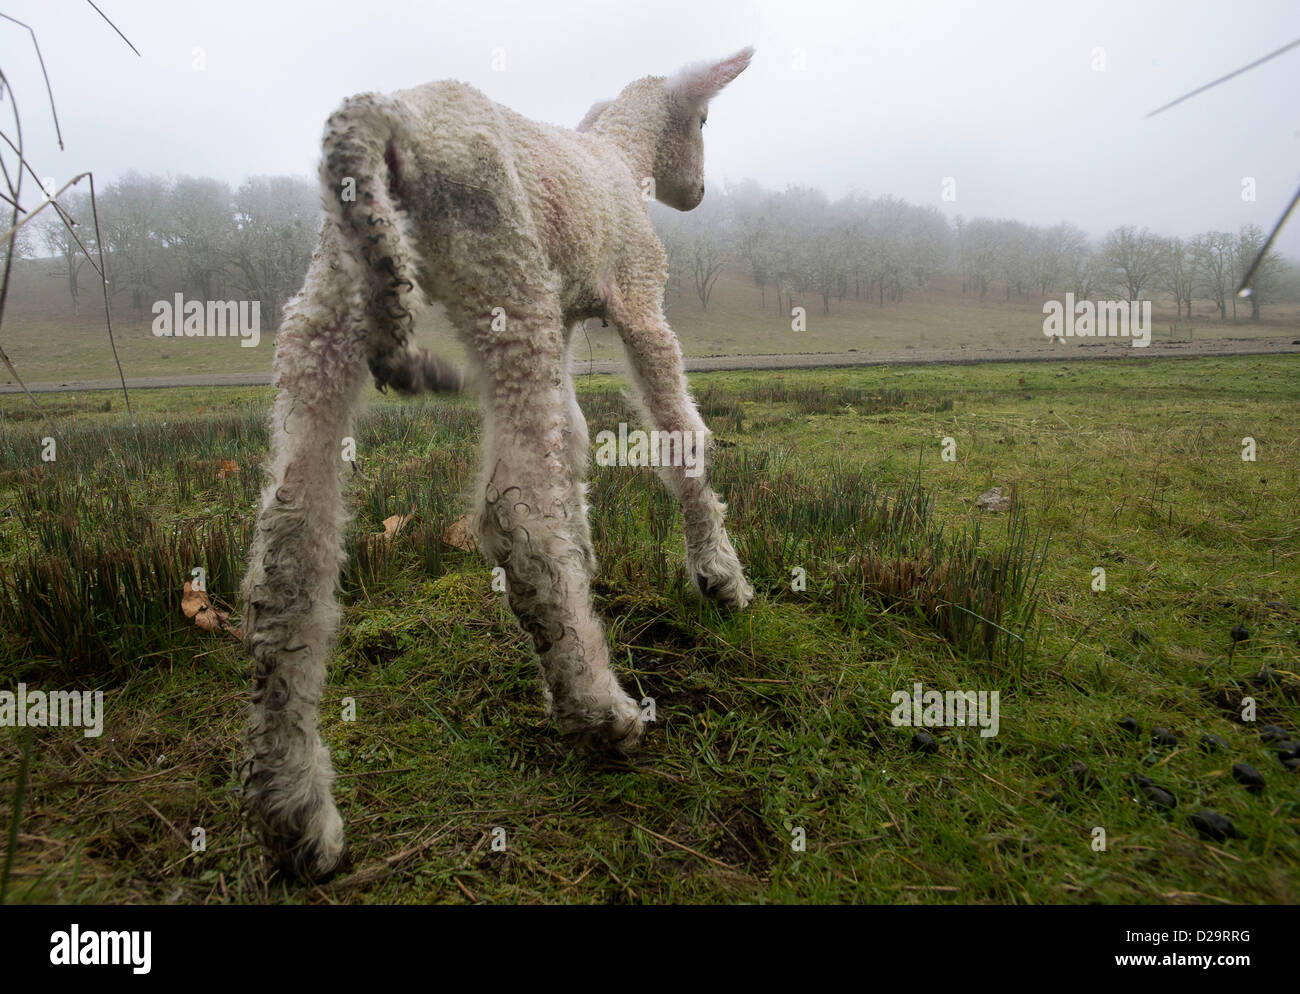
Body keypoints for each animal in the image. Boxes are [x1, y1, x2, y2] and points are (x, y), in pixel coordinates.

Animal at [240, 48, 755, 880]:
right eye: (704, 118)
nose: (699, 192)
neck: (619, 156)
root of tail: (384, 115)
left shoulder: (571, 313)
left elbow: (572, 442)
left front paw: (585, 581)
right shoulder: (637, 295)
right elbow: (680, 437)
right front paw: (720, 577)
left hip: (332, 303)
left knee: (291, 550)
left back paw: (297, 814)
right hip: (503, 272)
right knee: (513, 510)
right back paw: (599, 711)